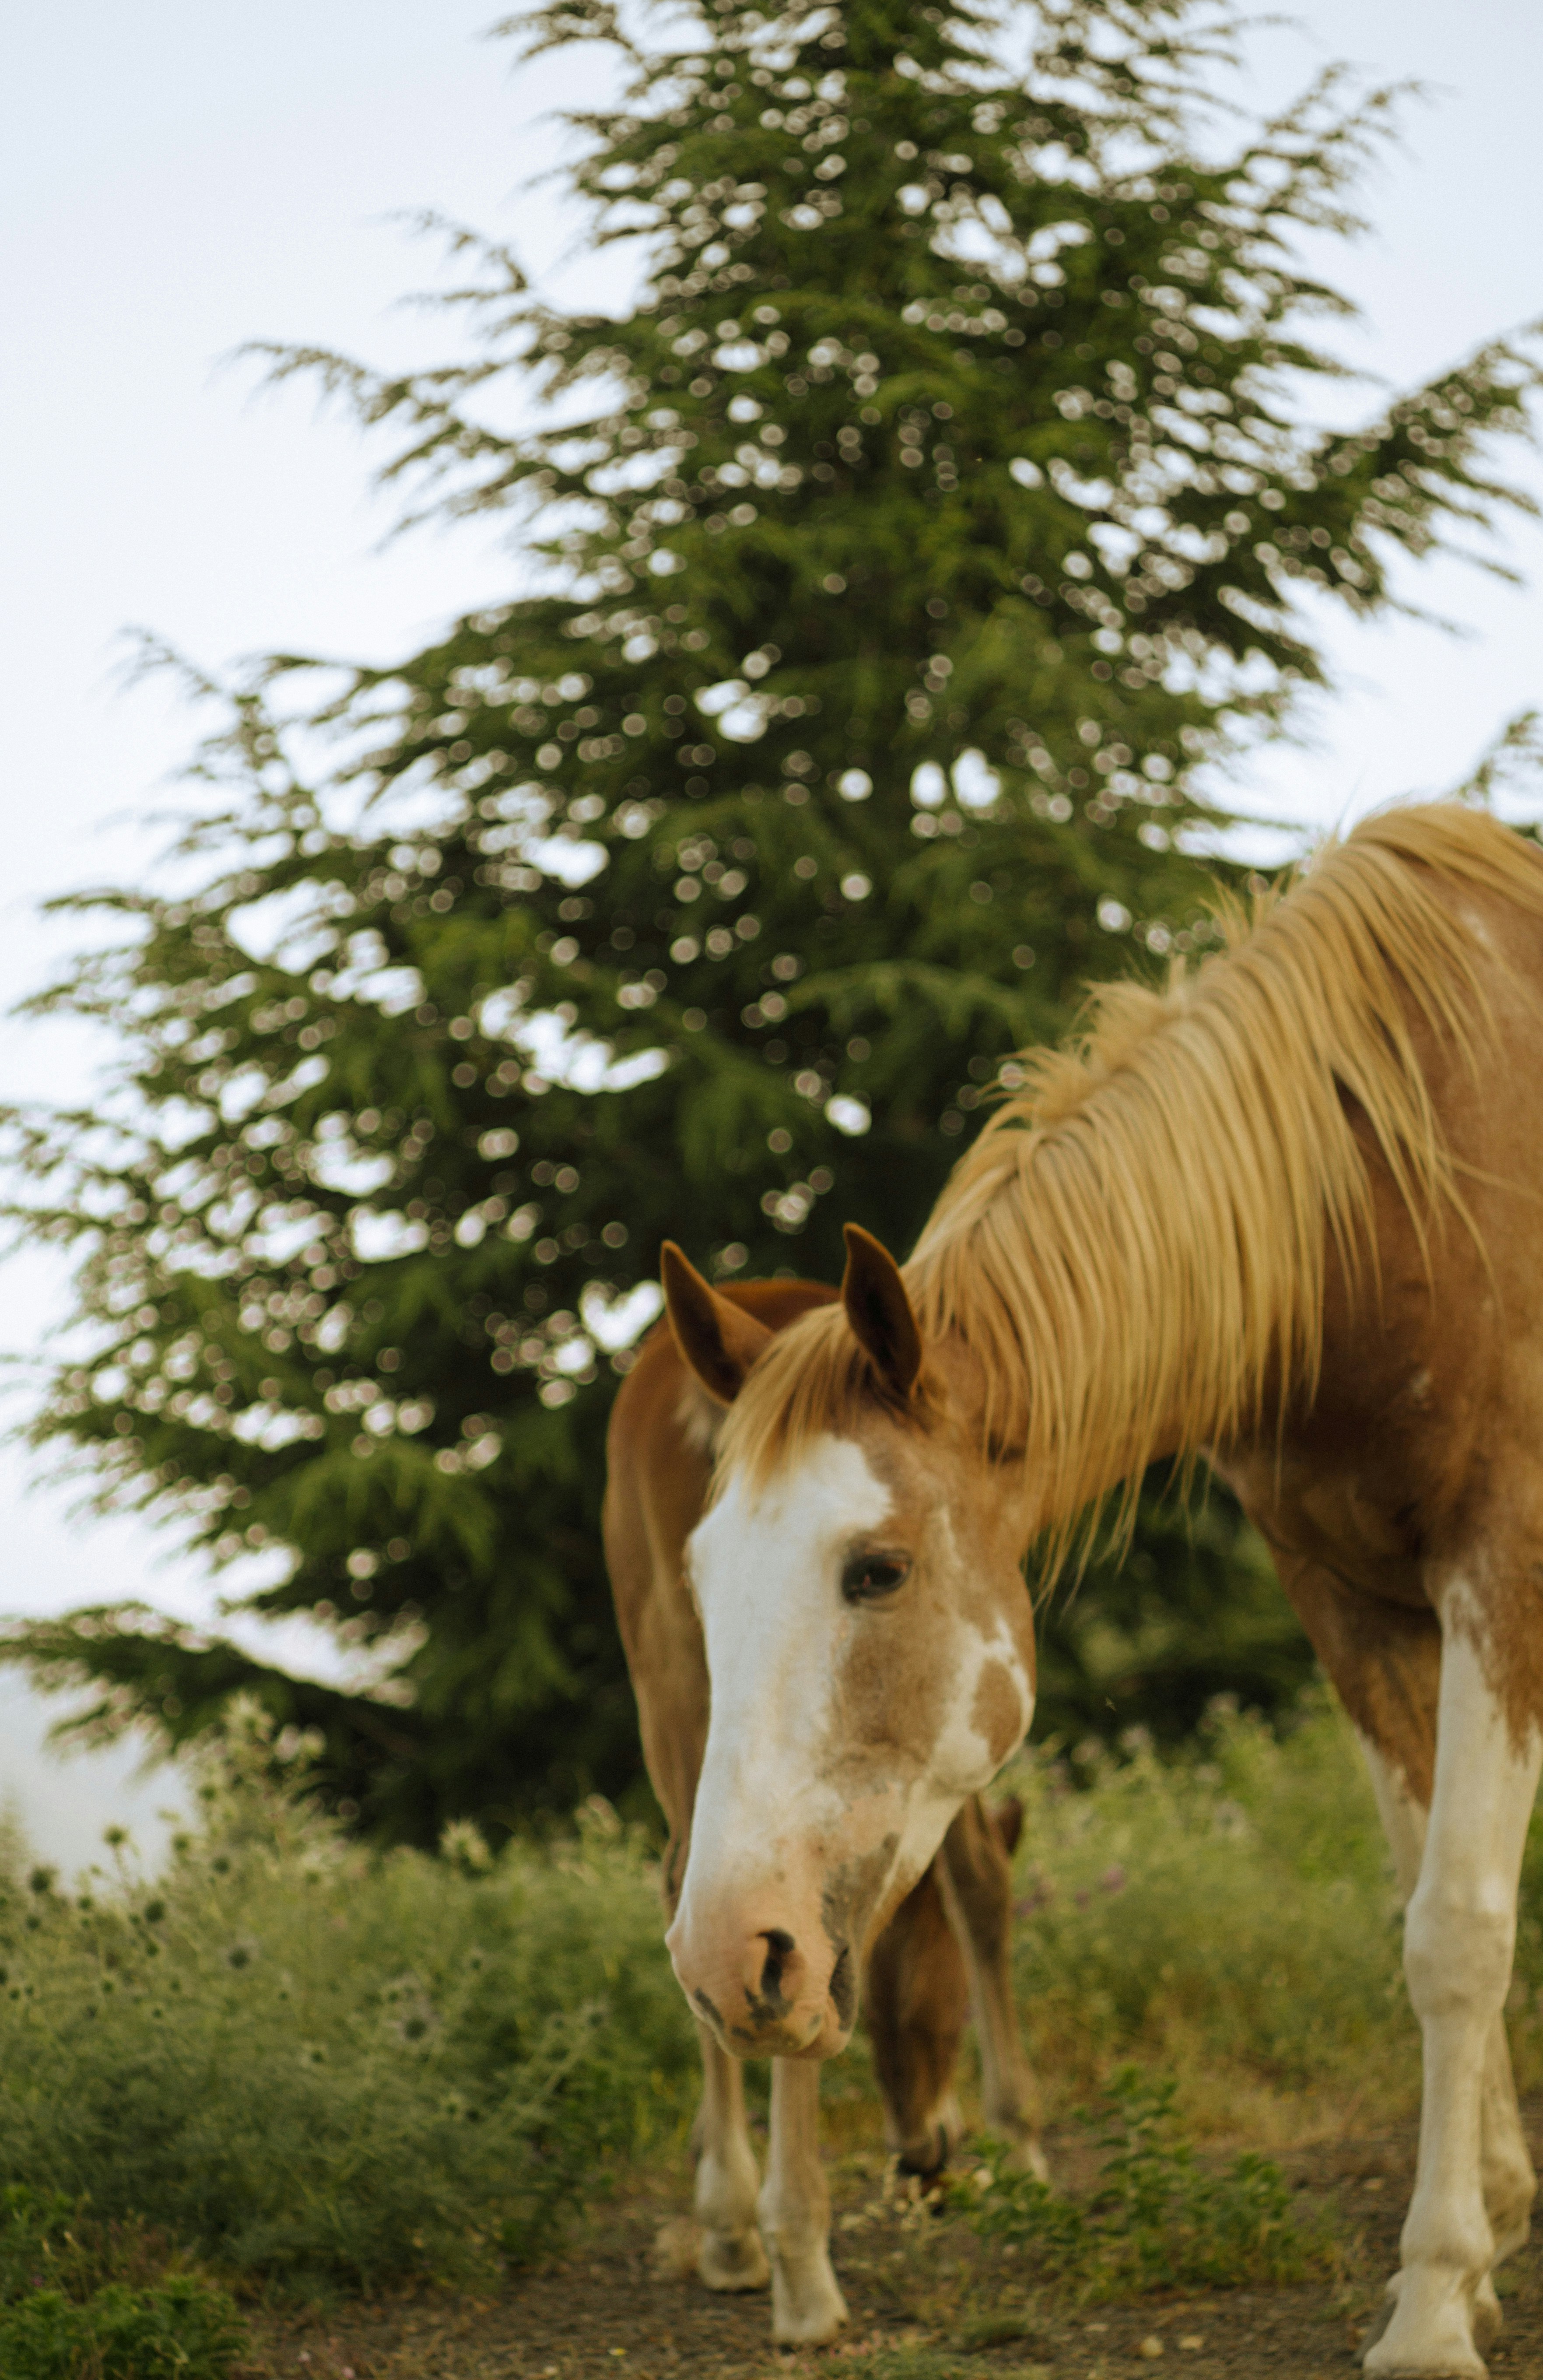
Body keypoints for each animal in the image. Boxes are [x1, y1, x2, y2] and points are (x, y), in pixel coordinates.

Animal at [603, 1278, 1045, 2344]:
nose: (924, 2158)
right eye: (936, 2011)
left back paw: (734, 2217)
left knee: (692, 1889)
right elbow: (958, 1892)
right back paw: (783, 2250)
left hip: (674, 1671)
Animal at [659, 802, 1543, 2379]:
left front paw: (1434, 2298)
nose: (722, 1954)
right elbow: (1428, 1890)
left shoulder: (1498, 1562)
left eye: (874, 1568)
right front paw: (1494, 2221)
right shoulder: (1349, 1595)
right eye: (704, 1574)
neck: (1397, 1193)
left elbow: (1456, 1925)